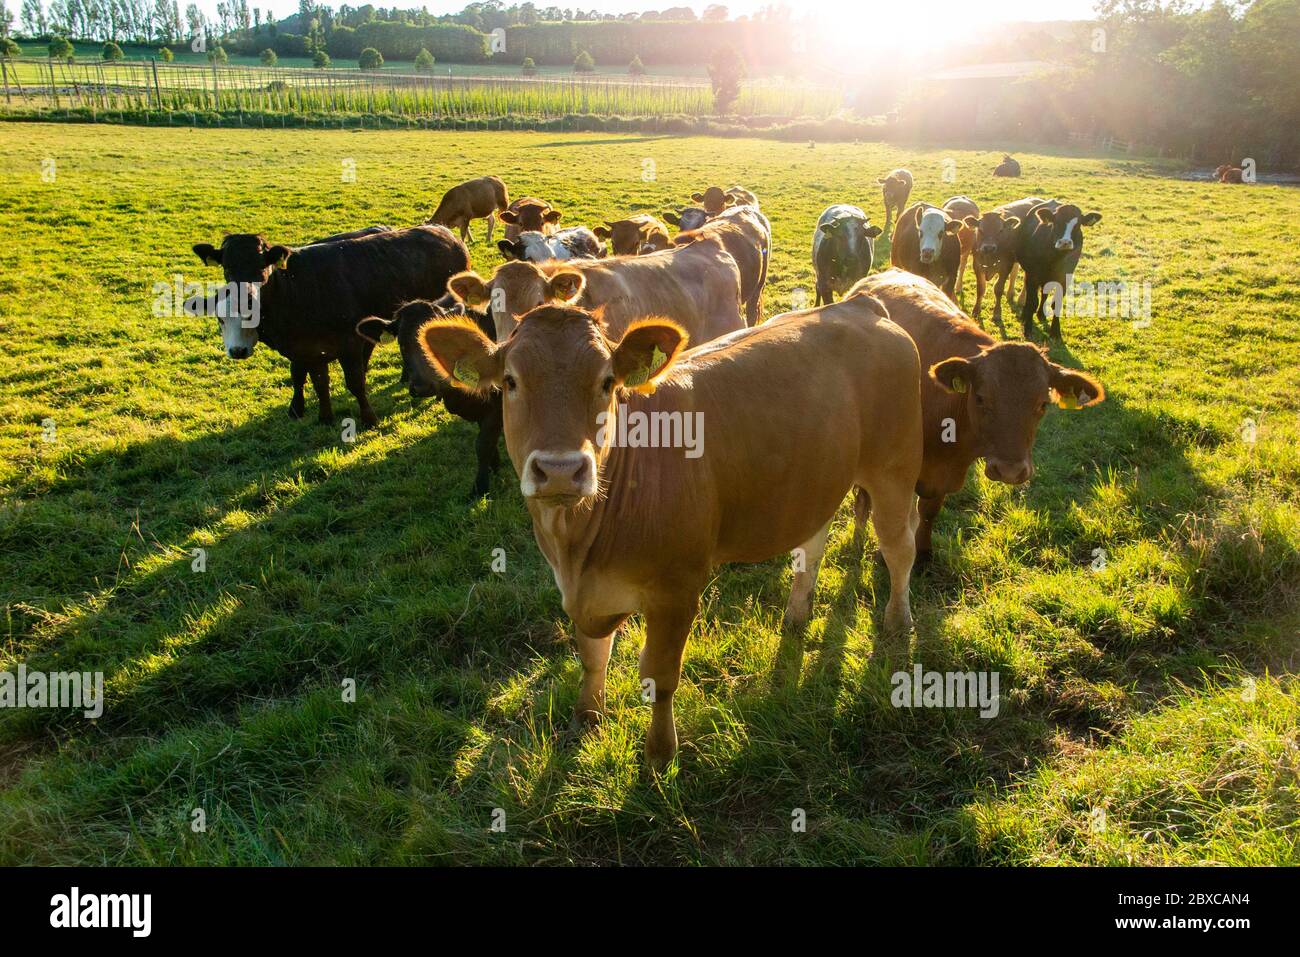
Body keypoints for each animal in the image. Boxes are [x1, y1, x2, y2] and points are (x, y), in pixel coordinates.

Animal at [189, 225, 468, 427]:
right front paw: (323, 417)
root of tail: (442, 230)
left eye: (262, 265)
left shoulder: (348, 344)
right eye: (227, 267)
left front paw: (369, 419)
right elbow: (315, 381)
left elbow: (355, 383)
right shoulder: (309, 350)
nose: (245, 296)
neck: (294, 290)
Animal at [417, 294, 923, 768]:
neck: (578, 546)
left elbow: (659, 676)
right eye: (510, 382)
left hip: (894, 469)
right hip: (817, 478)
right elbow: (592, 657)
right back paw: (797, 615)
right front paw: (586, 717)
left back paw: (898, 622)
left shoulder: (678, 590)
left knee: (900, 547)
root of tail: (859, 305)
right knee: (813, 543)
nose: (560, 470)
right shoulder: (580, 590)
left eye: (607, 382)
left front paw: (660, 754)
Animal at [852, 269, 1105, 563]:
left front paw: (923, 552)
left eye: (1043, 404)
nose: (1010, 471)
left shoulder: (943, 478)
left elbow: (928, 512)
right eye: (982, 397)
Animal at [1015, 200, 1102, 339]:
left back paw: (1041, 314)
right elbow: (1032, 301)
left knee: (1044, 294)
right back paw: (1025, 315)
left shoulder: (1064, 278)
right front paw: (1027, 328)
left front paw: (1055, 331)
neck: (1055, 258)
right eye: (1056, 221)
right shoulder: (1033, 275)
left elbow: (1057, 304)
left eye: (1078, 225)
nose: (1065, 242)